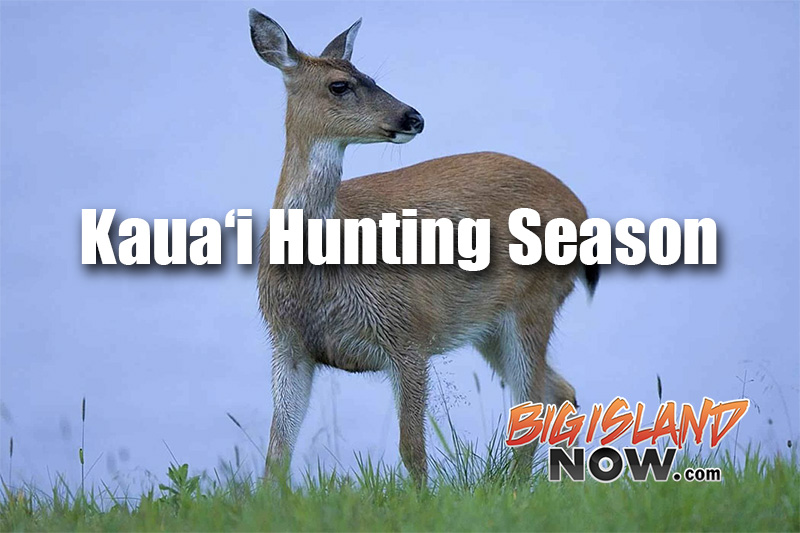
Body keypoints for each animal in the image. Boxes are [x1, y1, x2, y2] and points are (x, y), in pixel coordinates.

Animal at [248, 9, 599, 486]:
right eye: (340, 84)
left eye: (371, 76)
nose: (413, 117)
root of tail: (581, 210)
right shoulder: (288, 343)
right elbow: (277, 453)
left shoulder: (408, 331)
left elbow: (411, 449)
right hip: (488, 327)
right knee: (559, 391)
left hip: (534, 301)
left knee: (534, 404)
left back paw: (519, 489)